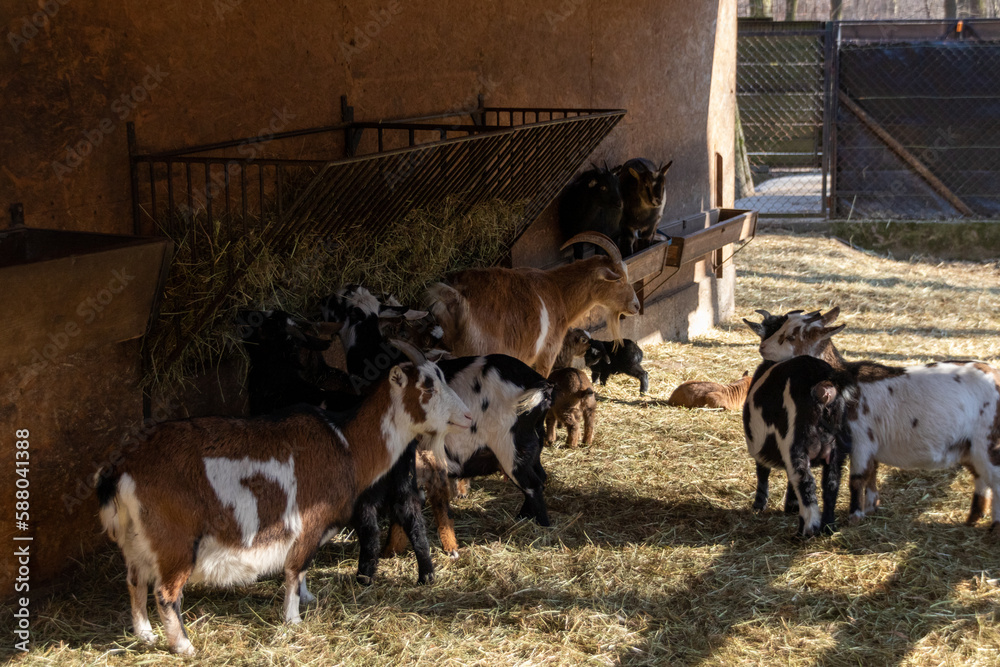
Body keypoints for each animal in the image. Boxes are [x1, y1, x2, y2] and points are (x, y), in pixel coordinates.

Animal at [96, 356, 471, 655]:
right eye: (427, 387)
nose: (468, 417)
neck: (346, 443)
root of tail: (123, 467)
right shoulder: (309, 522)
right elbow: (294, 568)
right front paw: (293, 620)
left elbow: (302, 570)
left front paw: (308, 599)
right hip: (175, 542)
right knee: (164, 592)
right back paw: (184, 646)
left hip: (135, 540)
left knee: (134, 581)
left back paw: (144, 635)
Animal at [743, 354, 856, 536]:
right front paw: (791, 506)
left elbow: (763, 473)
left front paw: (759, 506)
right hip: (838, 447)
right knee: (831, 482)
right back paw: (828, 527)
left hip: (794, 443)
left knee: (804, 480)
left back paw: (806, 530)